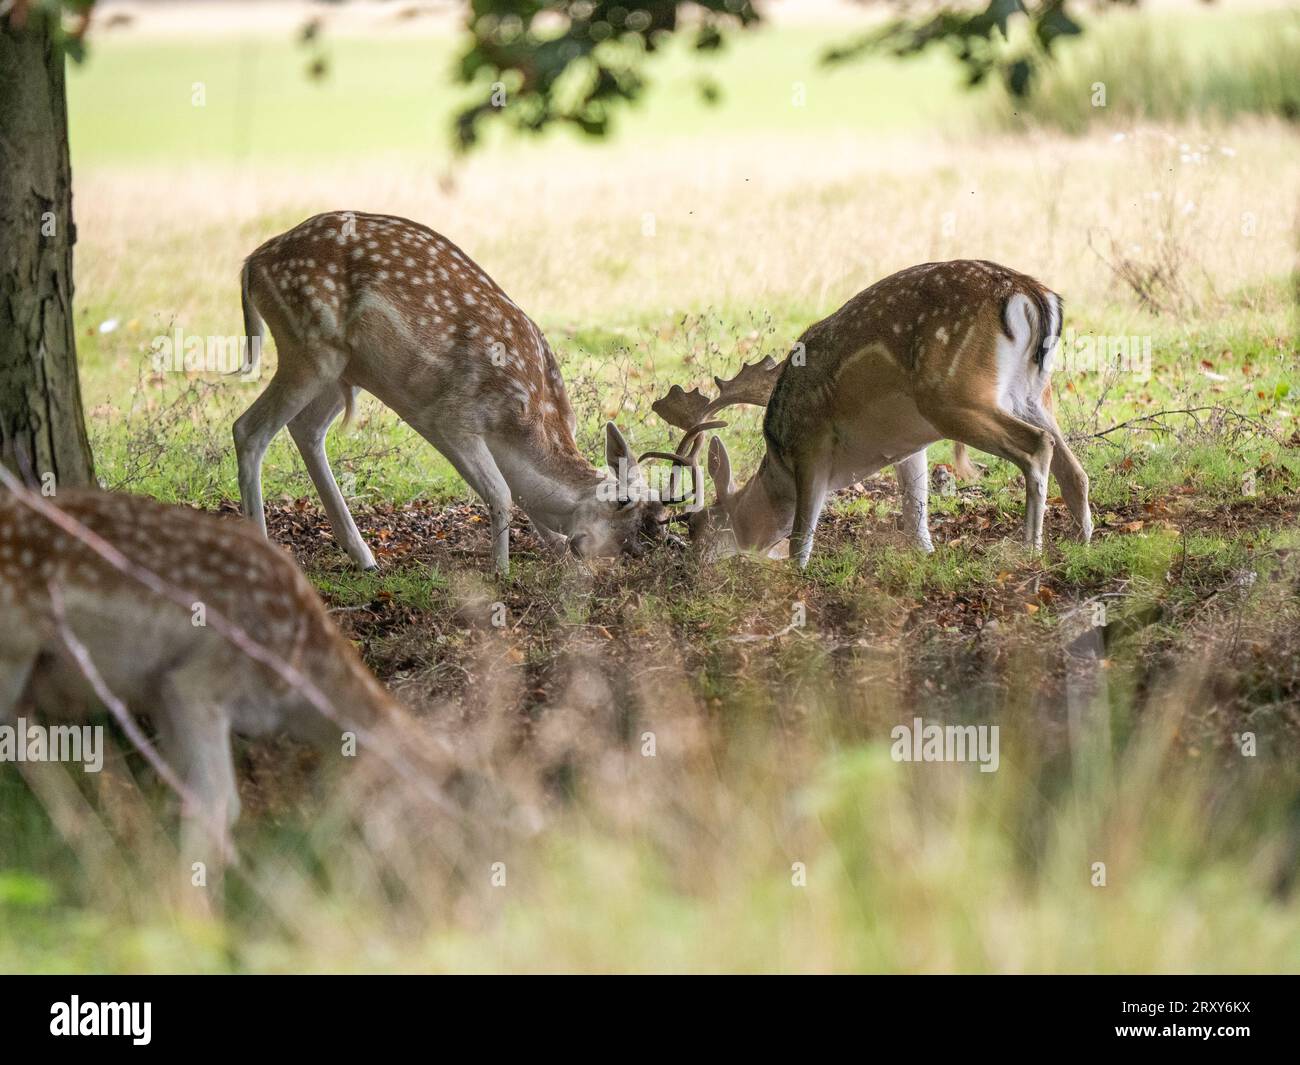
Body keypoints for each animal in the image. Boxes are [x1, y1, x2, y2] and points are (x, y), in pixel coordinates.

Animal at [234, 210, 667, 576]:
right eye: (622, 503)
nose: (630, 551)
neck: (524, 426)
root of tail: (251, 263)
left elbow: (520, 496)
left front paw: (556, 549)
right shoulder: (452, 417)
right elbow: (502, 493)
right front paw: (501, 573)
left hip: (343, 372)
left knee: (305, 429)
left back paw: (365, 558)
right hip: (310, 350)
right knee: (248, 430)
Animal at [645, 260, 1093, 567]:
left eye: (696, 524)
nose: (691, 566)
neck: (778, 464)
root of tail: (1031, 293)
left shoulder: (812, 446)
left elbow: (801, 536)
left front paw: (796, 572)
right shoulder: (910, 445)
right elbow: (915, 514)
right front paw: (925, 553)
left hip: (954, 395)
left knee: (1037, 447)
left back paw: (1030, 547)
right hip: (1034, 394)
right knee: (1074, 468)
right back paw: (1083, 540)